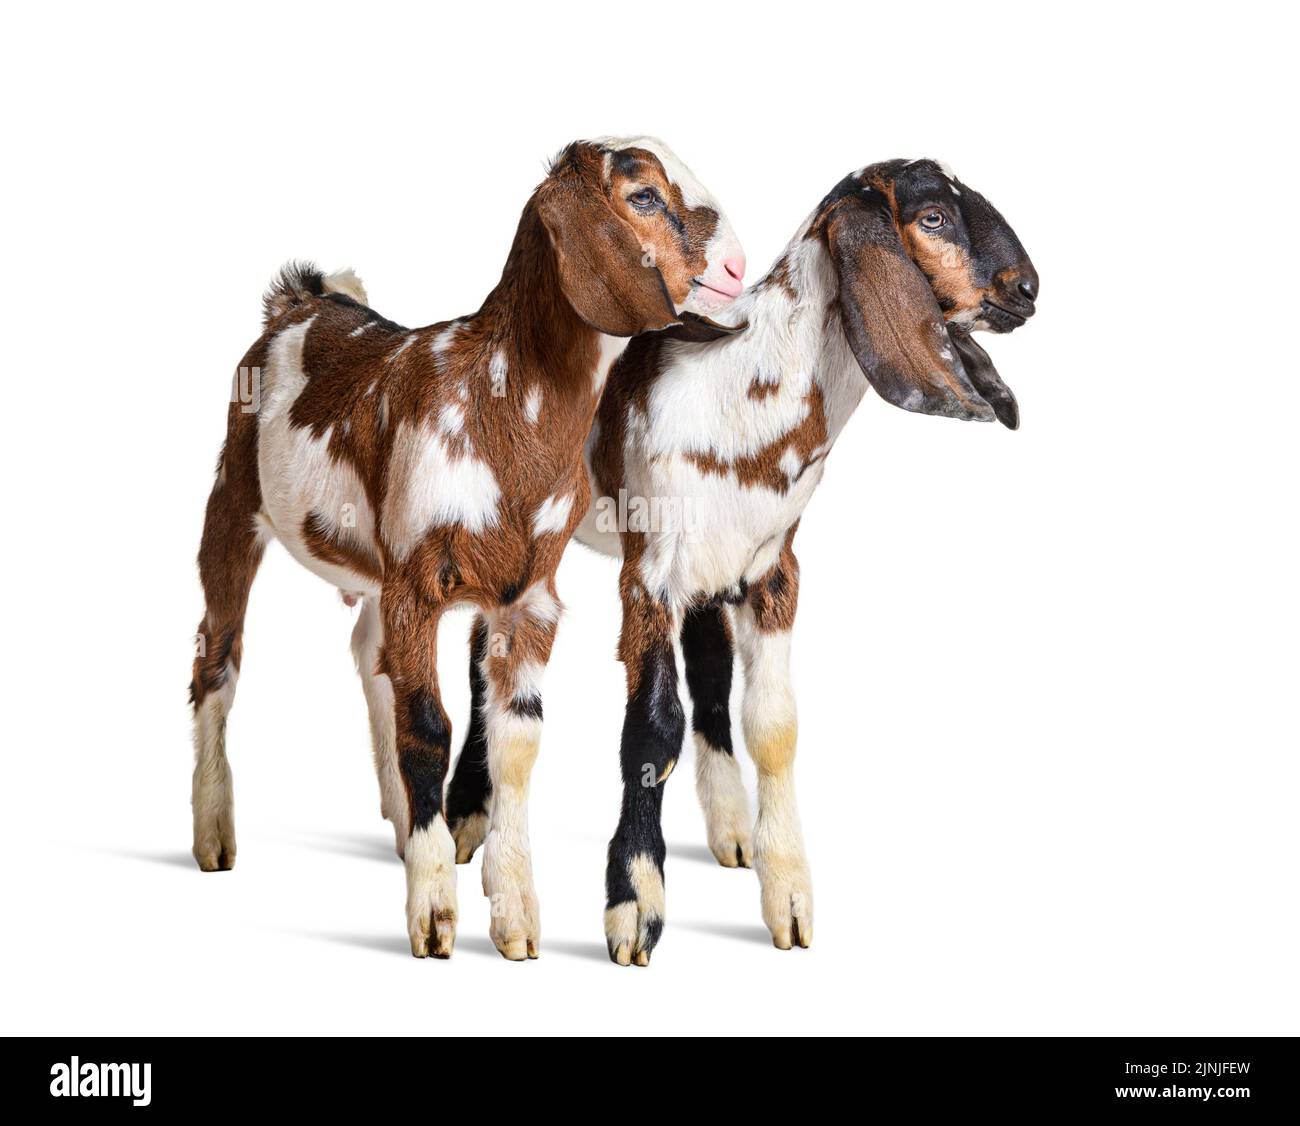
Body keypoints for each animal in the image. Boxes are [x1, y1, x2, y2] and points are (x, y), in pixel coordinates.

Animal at [189, 137, 745, 960]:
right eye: (642, 195)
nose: (737, 269)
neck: (497, 399)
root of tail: (299, 302)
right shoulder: (418, 582)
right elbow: (429, 729)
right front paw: (432, 917)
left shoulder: (528, 598)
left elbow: (513, 740)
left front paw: (514, 916)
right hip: (233, 500)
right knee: (217, 656)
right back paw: (214, 834)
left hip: (374, 569)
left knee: (369, 656)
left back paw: (401, 824)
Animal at [447, 157, 1038, 965]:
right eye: (935, 218)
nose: (1027, 289)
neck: (743, 384)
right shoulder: (650, 572)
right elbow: (650, 728)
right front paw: (635, 906)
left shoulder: (770, 569)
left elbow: (773, 723)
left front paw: (786, 892)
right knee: (486, 653)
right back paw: (467, 821)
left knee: (708, 668)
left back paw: (729, 830)